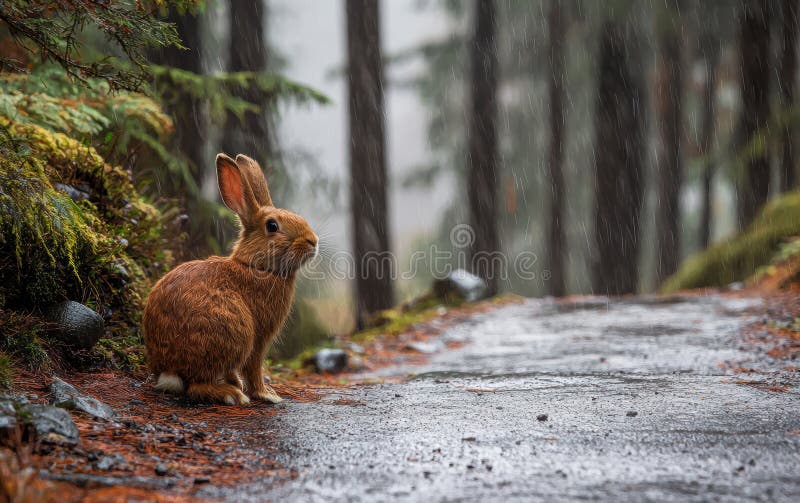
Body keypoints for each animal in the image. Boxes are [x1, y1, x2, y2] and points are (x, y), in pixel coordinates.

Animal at [143, 153, 318, 405]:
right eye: (272, 226)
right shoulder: (259, 338)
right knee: (196, 385)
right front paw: (267, 395)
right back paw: (232, 394)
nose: (313, 241)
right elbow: (254, 367)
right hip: (233, 331)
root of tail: (169, 370)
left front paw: (241, 383)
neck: (257, 267)